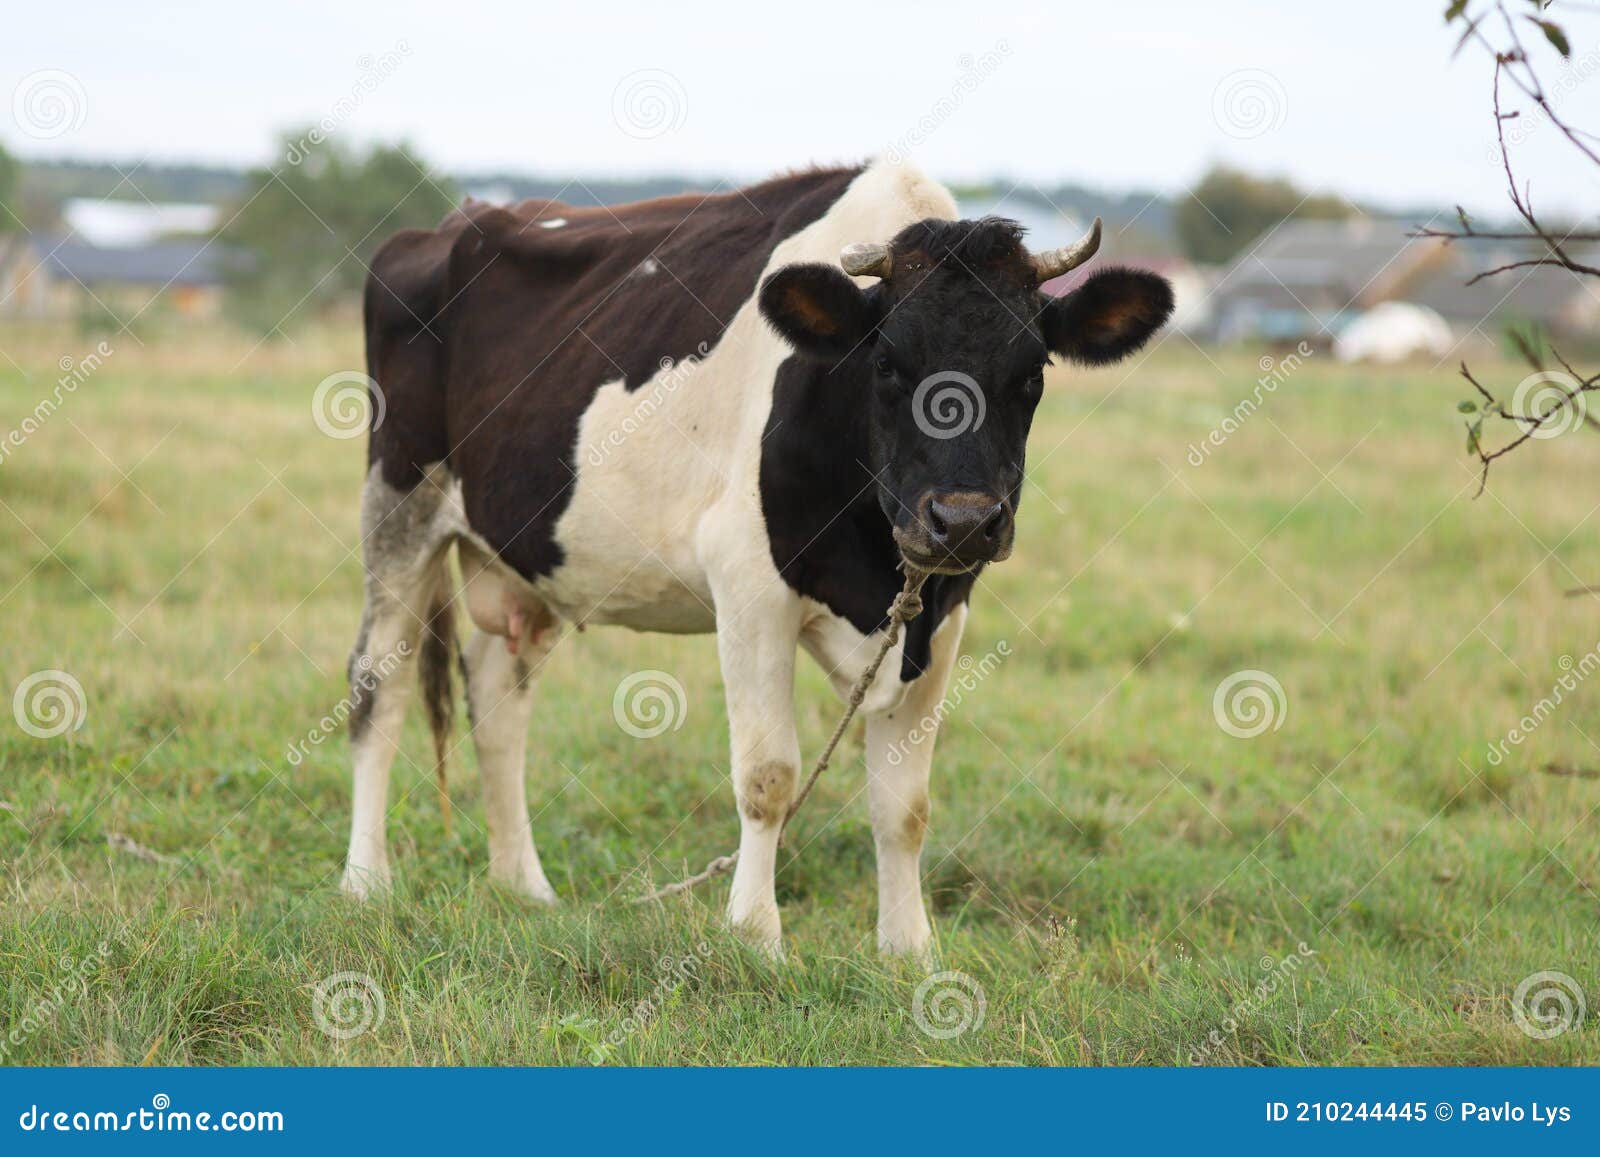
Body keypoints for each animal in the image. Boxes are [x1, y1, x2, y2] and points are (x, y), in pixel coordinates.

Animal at [341, 158, 1173, 957]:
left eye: (1031, 372)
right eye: (887, 364)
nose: (964, 519)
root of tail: (451, 222)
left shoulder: (943, 609)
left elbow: (904, 803)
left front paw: (909, 951)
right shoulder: (748, 585)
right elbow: (769, 776)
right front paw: (756, 937)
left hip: (528, 554)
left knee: (496, 697)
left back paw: (523, 885)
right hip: (399, 507)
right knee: (378, 685)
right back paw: (366, 881)